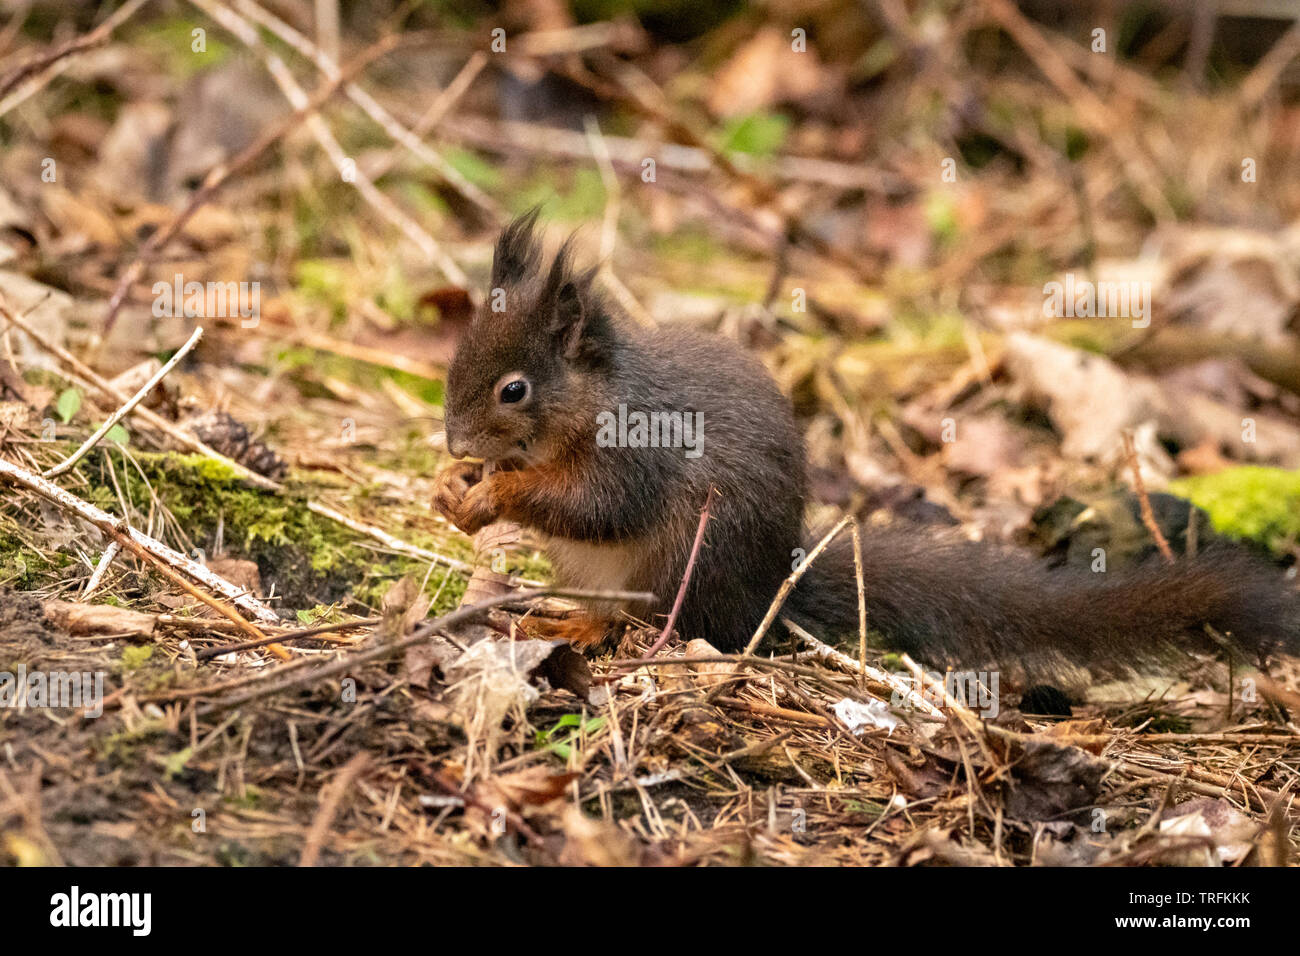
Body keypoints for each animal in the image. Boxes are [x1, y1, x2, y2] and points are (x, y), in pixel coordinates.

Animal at [434, 212, 1300, 684]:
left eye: (514, 390)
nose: (452, 438)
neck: (591, 407)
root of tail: (770, 584)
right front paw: (454, 491)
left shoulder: (636, 455)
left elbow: (595, 505)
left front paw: (494, 492)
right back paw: (562, 617)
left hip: (688, 562)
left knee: (675, 623)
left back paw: (611, 633)